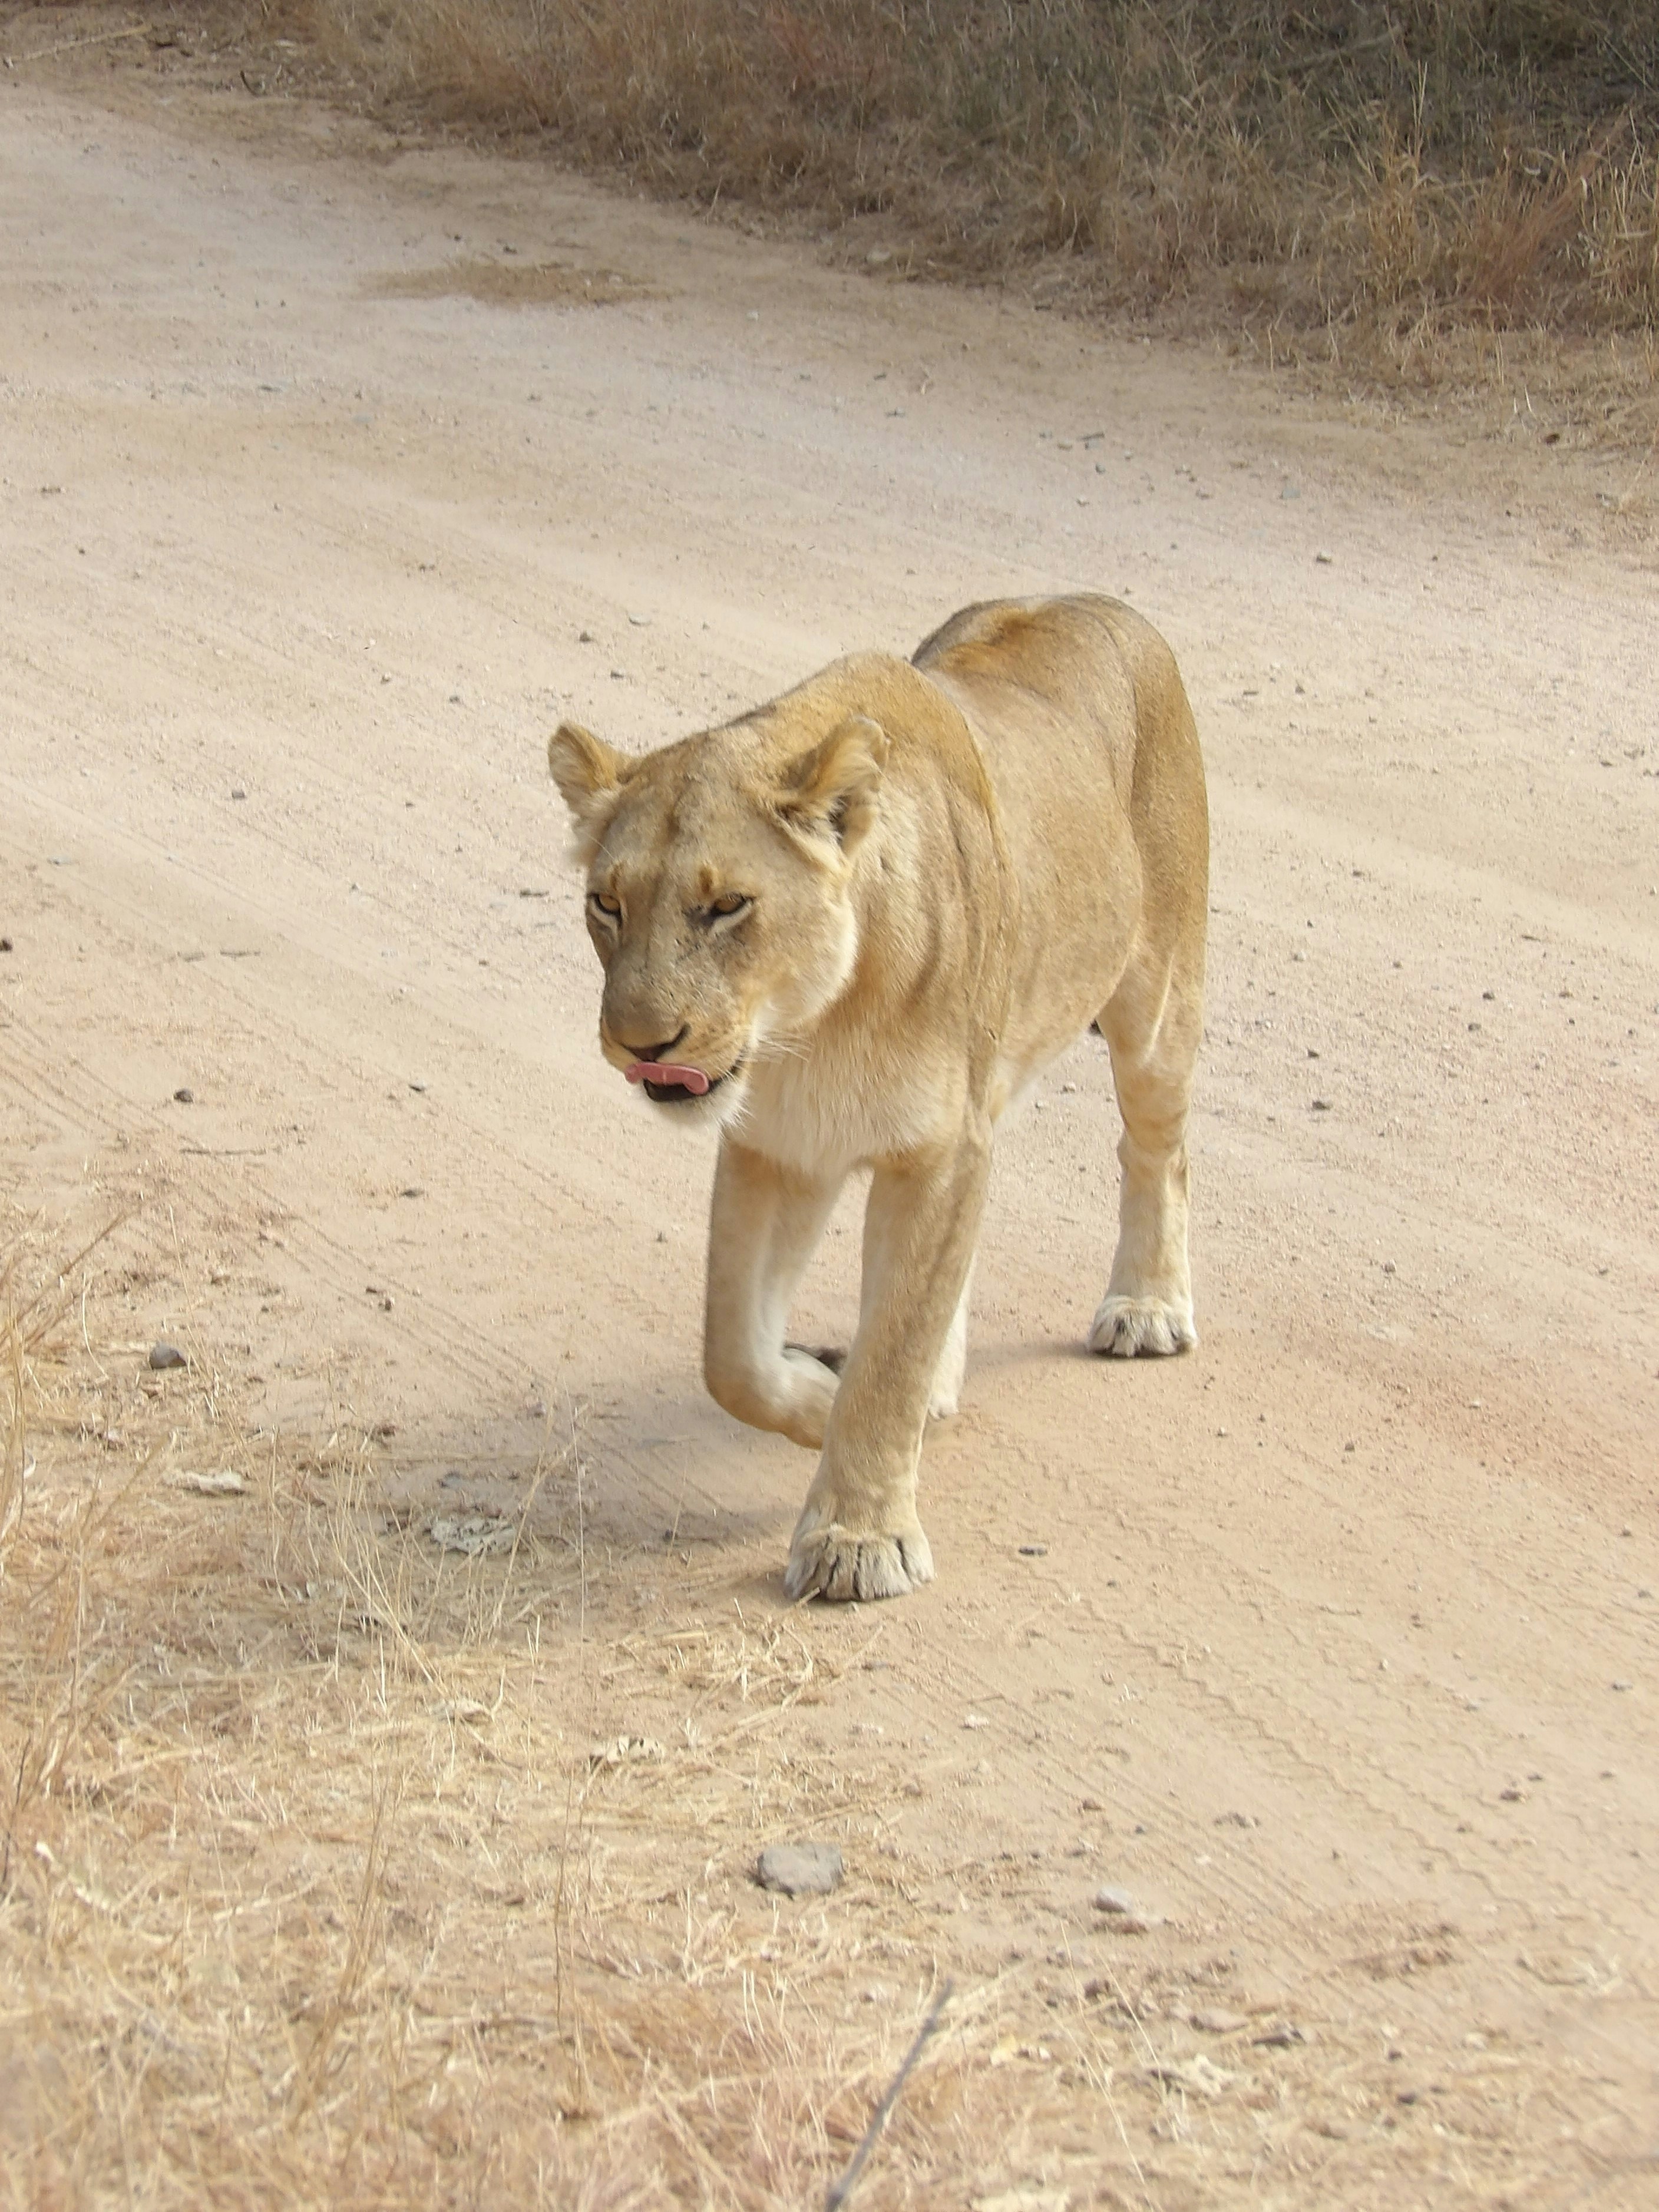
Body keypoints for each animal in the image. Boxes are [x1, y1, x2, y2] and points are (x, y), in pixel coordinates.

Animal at [547, 594, 1208, 1603]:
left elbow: (892, 1348)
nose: (643, 1045)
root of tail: (1097, 601)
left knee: (1154, 1149)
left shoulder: (937, 1146)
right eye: (607, 903)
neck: (813, 1024)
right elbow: (732, 1355)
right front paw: (819, 1398)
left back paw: (1147, 1305)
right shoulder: (780, 1145)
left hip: (1156, 1000)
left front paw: (860, 1535)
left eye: (728, 906)